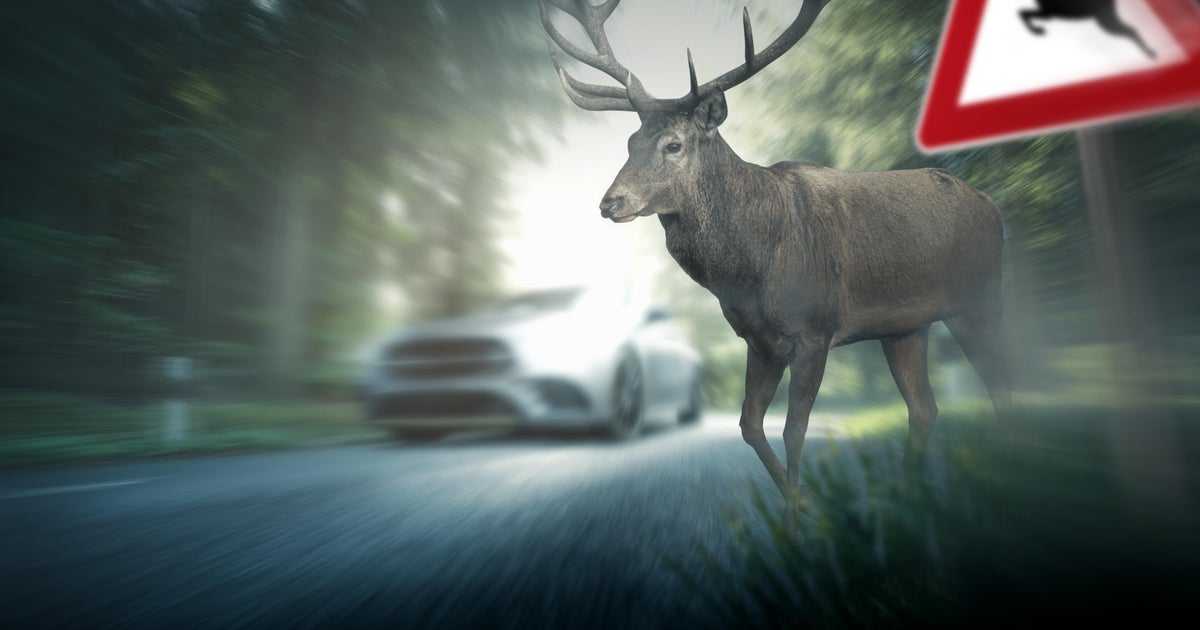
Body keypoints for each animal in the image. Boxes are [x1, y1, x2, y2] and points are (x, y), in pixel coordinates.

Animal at [540, 0, 1011, 509]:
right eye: (629, 143)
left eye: (674, 144)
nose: (611, 203)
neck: (749, 269)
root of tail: (992, 206)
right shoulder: (759, 340)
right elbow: (749, 424)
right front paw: (802, 499)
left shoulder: (816, 329)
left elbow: (794, 429)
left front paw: (800, 514)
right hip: (905, 326)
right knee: (925, 407)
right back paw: (904, 496)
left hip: (979, 300)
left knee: (1003, 386)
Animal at [1020, 0, 1156, 58]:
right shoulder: (1047, 13)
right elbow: (1022, 13)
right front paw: (1038, 30)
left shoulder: (1048, 13)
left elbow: (1023, 14)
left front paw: (1037, 30)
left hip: (1106, 22)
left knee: (1131, 30)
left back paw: (1150, 53)